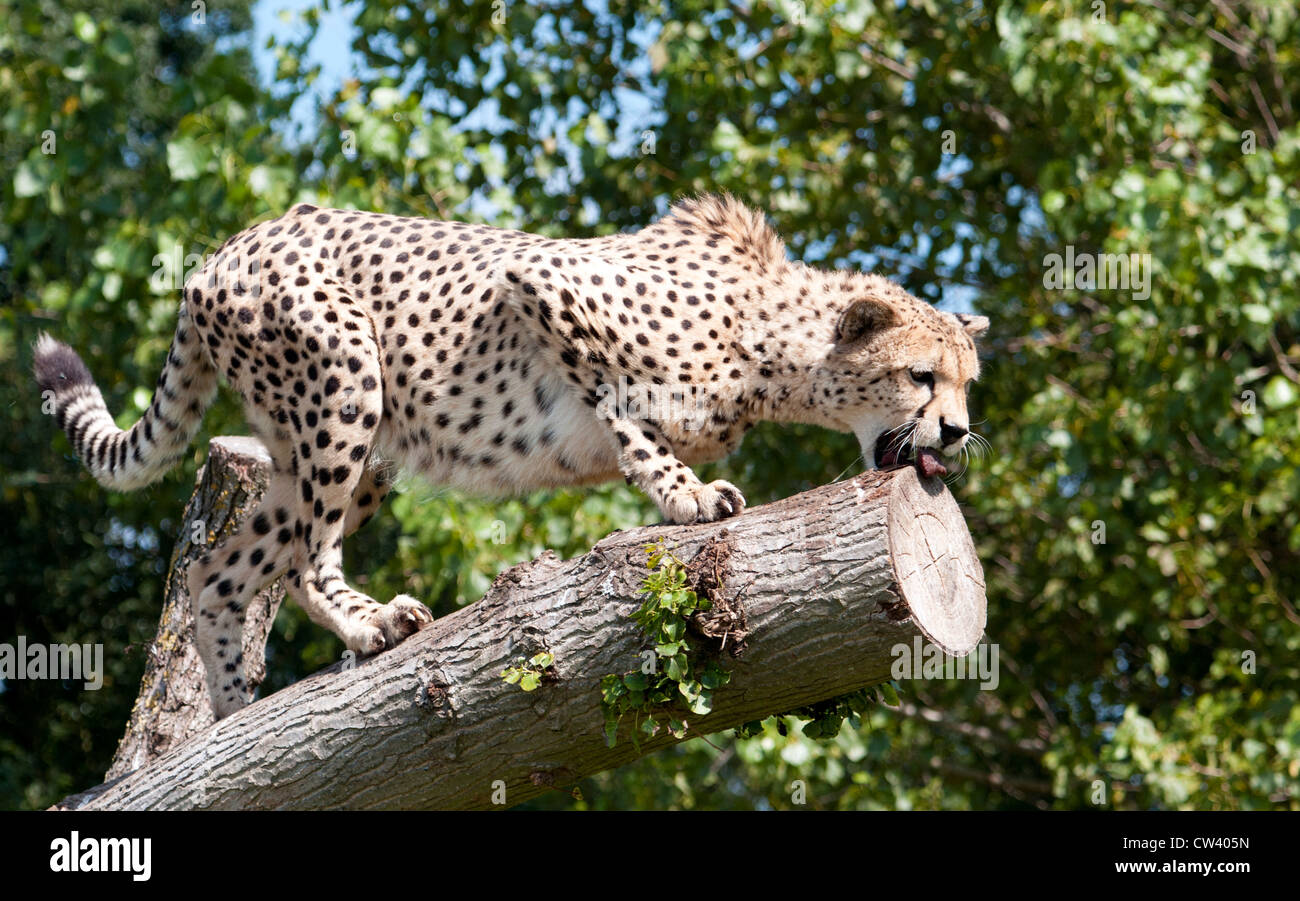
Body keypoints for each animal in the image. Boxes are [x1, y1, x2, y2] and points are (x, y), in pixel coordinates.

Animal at [33, 193, 988, 718]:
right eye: (919, 376)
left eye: (967, 384)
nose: (956, 433)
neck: (773, 343)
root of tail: (223, 251)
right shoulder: (542, 286)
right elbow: (625, 410)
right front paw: (682, 494)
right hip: (346, 380)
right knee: (305, 555)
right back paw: (367, 623)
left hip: (344, 451)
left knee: (222, 570)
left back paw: (236, 711)